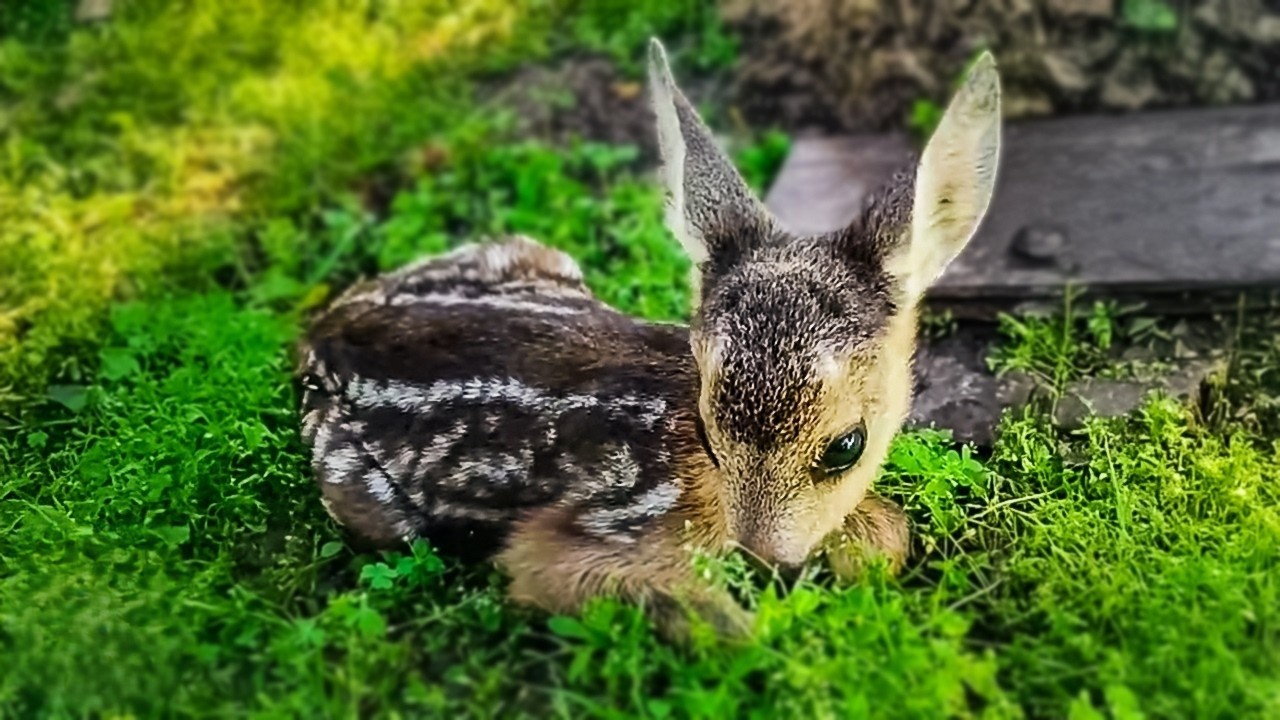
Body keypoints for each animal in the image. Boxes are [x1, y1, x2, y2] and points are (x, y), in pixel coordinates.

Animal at [296, 39, 1002, 641]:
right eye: (710, 432)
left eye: (846, 447)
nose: (764, 560)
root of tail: (322, 329)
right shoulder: (583, 533)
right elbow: (728, 629)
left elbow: (890, 530)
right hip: (368, 497)